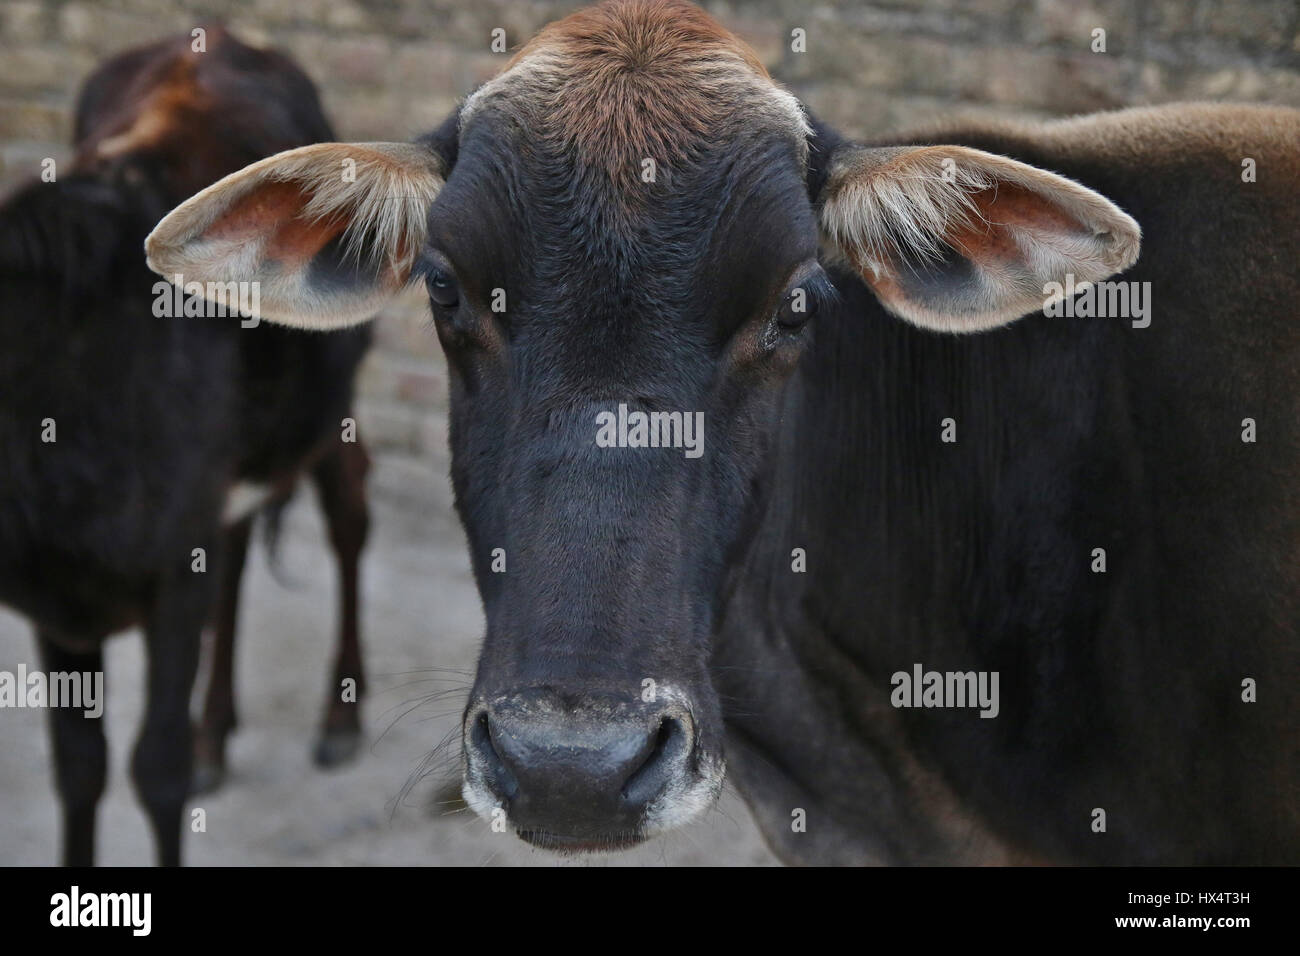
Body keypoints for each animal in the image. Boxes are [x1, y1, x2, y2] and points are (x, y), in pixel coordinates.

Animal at [0, 29, 373, 864]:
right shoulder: (57, 596)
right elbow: (80, 768)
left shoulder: (169, 574)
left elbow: (155, 770)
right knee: (234, 559)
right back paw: (216, 735)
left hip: (325, 408)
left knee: (347, 513)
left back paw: (340, 720)